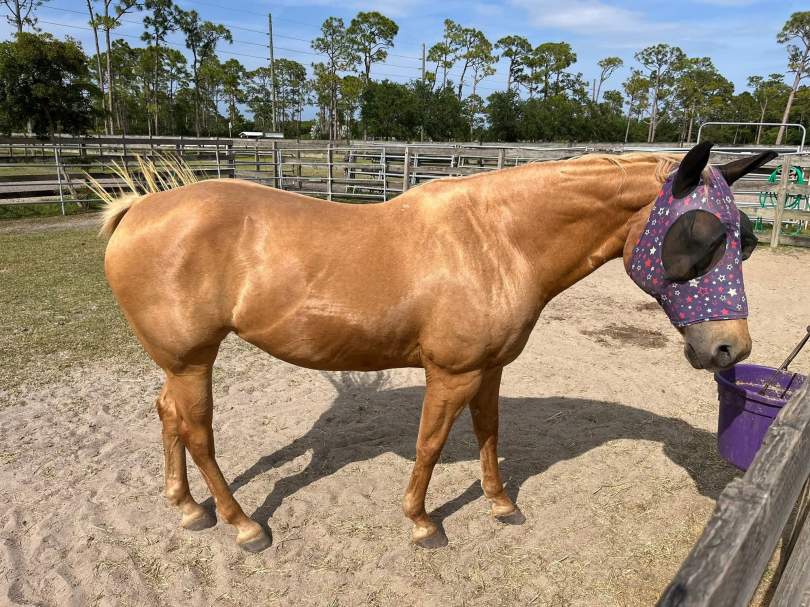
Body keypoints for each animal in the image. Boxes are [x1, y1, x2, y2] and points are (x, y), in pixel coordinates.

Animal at [101, 142, 775, 552]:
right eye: (700, 239)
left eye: (746, 241)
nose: (729, 349)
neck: (497, 241)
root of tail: (138, 209)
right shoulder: (450, 372)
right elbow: (430, 444)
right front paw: (423, 523)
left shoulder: (489, 370)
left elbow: (490, 433)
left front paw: (501, 505)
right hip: (193, 361)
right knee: (197, 432)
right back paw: (242, 525)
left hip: (177, 364)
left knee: (168, 416)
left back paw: (187, 507)